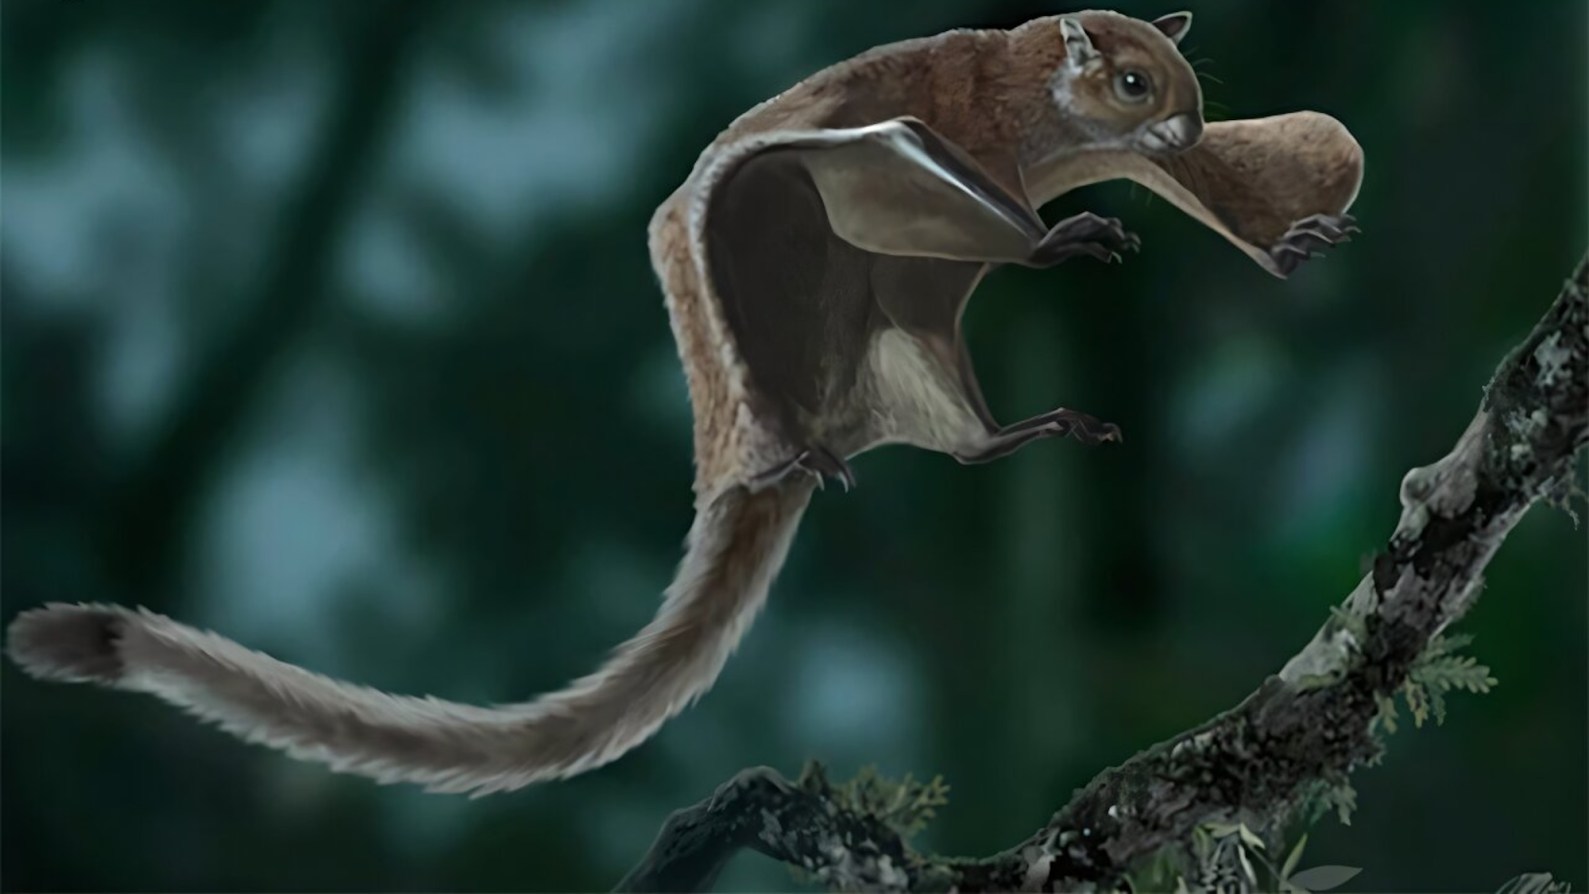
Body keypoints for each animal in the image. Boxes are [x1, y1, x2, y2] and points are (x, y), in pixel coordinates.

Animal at [6, 10, 1362, 796]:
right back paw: (814, 456)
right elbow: (953, 186)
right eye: (1133, 79)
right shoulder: (933, 139)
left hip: (912, 346)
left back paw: (1009, 428)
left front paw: (1282, 242)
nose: (1180, 124)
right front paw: (1058, 239)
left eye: (1181, 81)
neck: (1032, 112)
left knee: (969, 443)